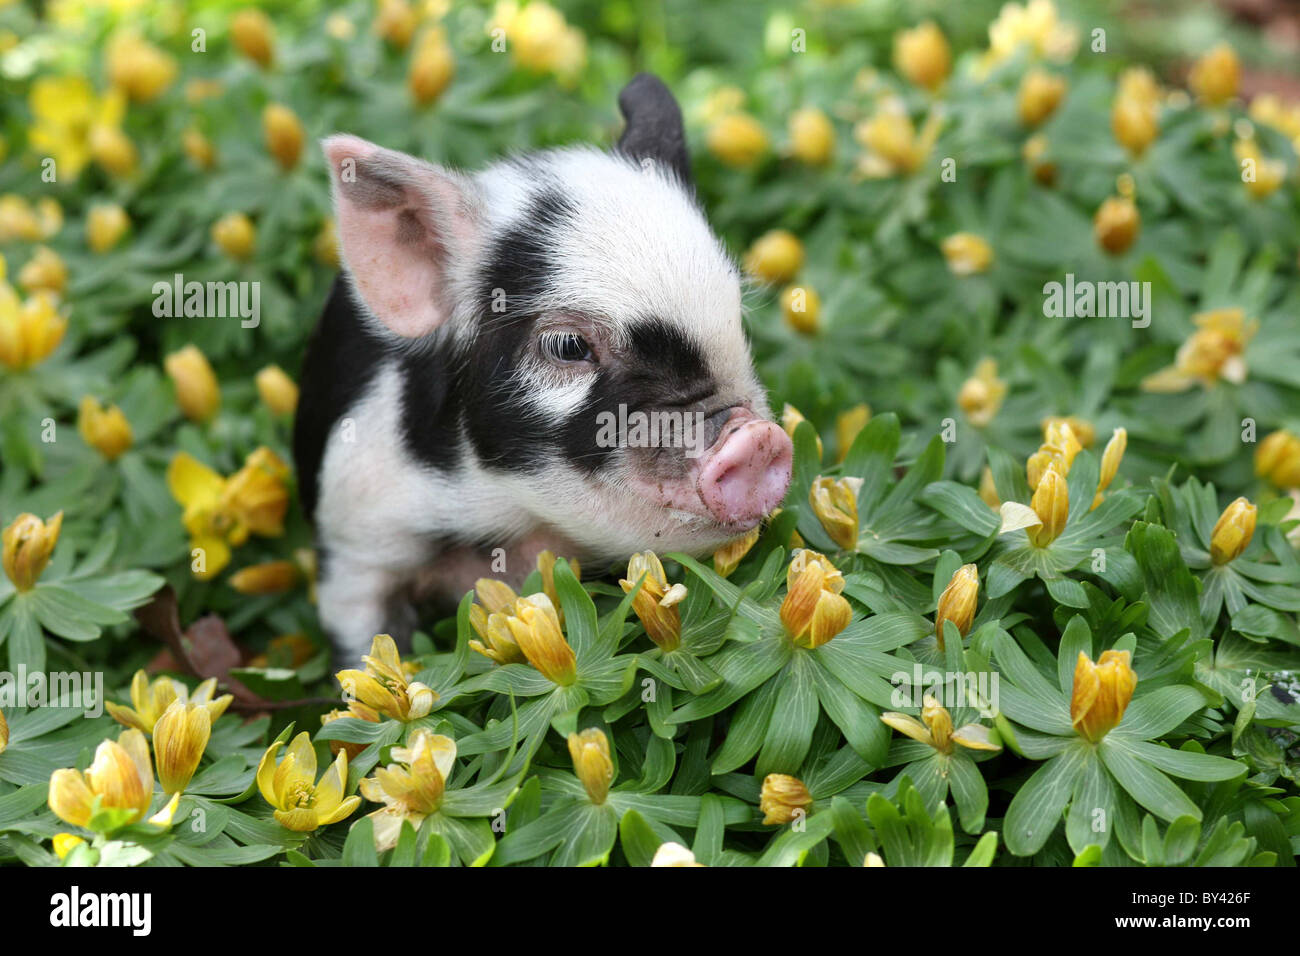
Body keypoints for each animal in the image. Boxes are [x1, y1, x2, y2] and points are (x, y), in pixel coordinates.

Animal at [293, 74, 793, 661]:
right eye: (567, 345)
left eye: (735, 313)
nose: (757, 440)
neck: (513, 522)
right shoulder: (355, 537)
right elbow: (369, 642)